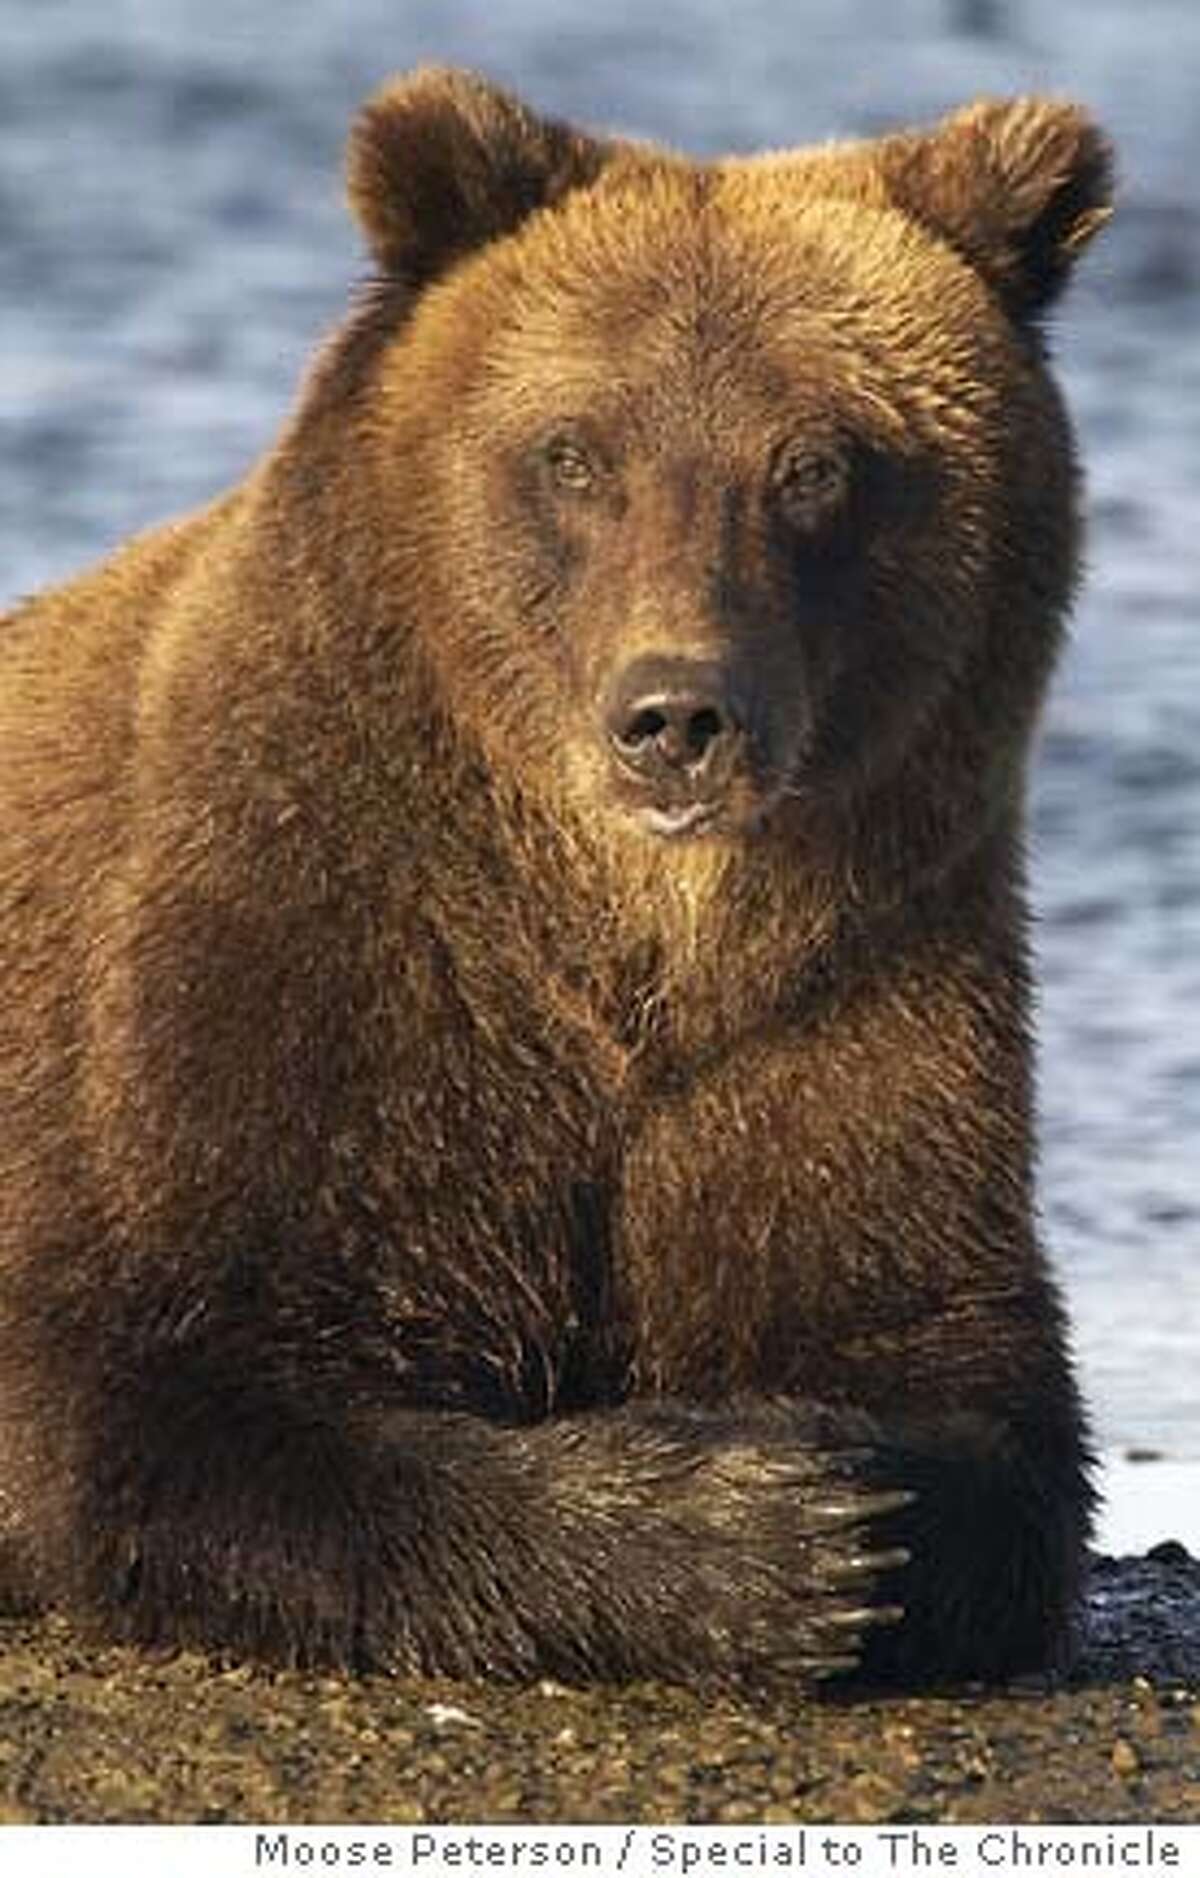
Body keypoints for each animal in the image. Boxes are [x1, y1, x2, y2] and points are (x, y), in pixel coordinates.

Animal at [0, 67, 1113, 1689]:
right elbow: (178, 1403)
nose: (678, 714)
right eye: (576, 452)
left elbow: (964, 1392)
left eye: (818, 462)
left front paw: (839, 1482)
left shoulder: (853, 996)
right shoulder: (298, 954)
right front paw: (748, 1527)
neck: (619, 933)